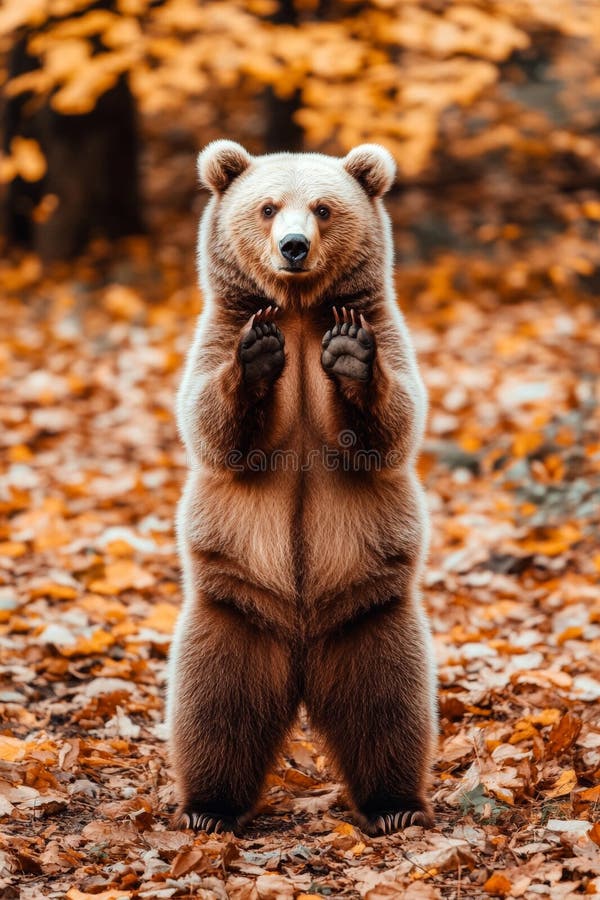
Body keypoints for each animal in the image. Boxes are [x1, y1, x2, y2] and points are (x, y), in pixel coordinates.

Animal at [166, 140, 438, 836]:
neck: (296, 308)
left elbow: (393, 424)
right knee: (215, 706)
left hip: (372, 613)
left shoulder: (384, 326)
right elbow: (210, 425)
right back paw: (209, 807)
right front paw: (257, 353)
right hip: (233, 608)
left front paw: (350, 353)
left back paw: (394, 803)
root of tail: (302, 656)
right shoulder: (215, 331)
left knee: (388, 706)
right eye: (267, 207)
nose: (292, 246)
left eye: (322, 207)